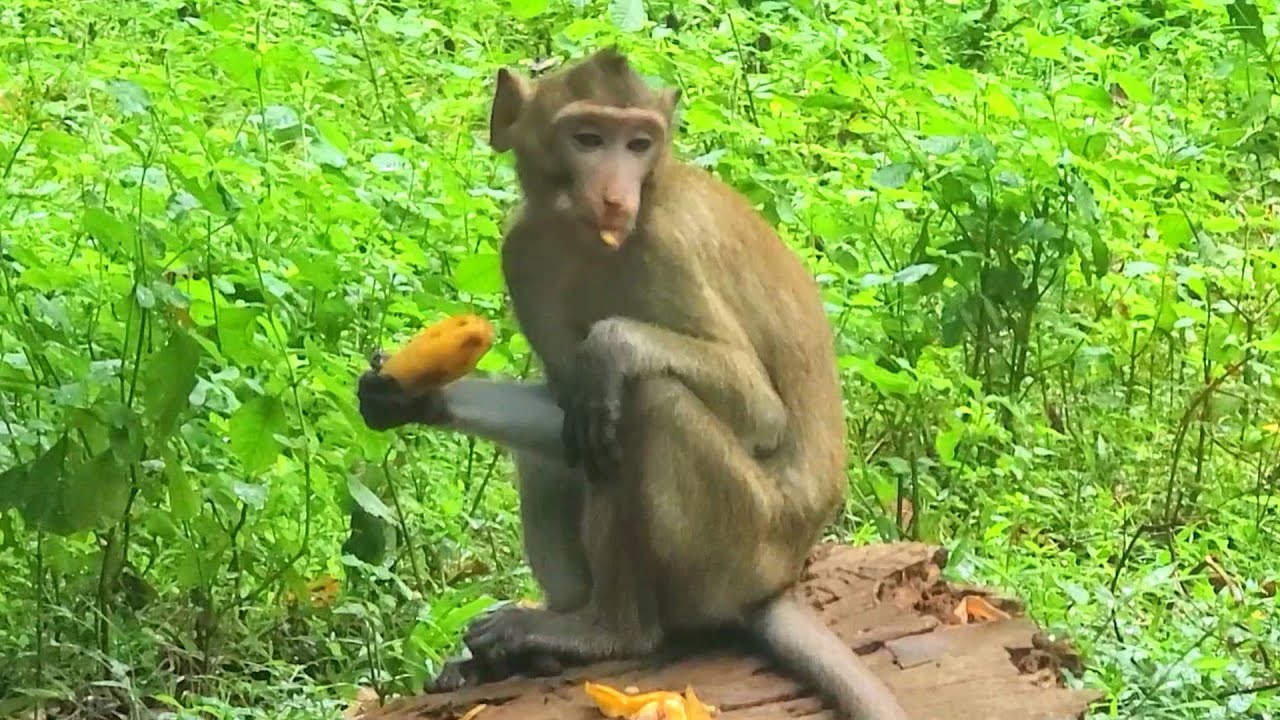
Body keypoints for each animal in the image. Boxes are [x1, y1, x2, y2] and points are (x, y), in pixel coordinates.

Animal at [356, 48, 909, 720]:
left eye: (639, 143)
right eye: (588, 139)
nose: (618, 197)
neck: (586, 239)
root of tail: (777, 583)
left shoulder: (666, 248)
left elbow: (758, 410)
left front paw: (611, 346)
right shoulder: (523, 254)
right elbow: (563, 410)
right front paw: (409, 394)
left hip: (741, 546)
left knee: (648, 403)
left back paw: (608, 631)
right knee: (565, 445)